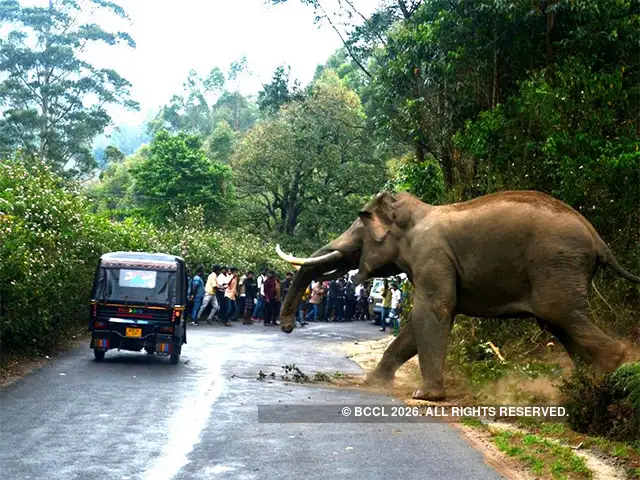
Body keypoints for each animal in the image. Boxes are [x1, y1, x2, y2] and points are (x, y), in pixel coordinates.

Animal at [276, 190, 640, 401]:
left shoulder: (431, 255)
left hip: (557, 265)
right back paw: (586, 380)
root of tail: (598, 239)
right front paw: (373, 383)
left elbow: (433, 311)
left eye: (357, 228)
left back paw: (612, 365)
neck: (416, 213)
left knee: (561, 315)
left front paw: (425, 396)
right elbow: (417, 324)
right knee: (560, 323)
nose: (287, 327)